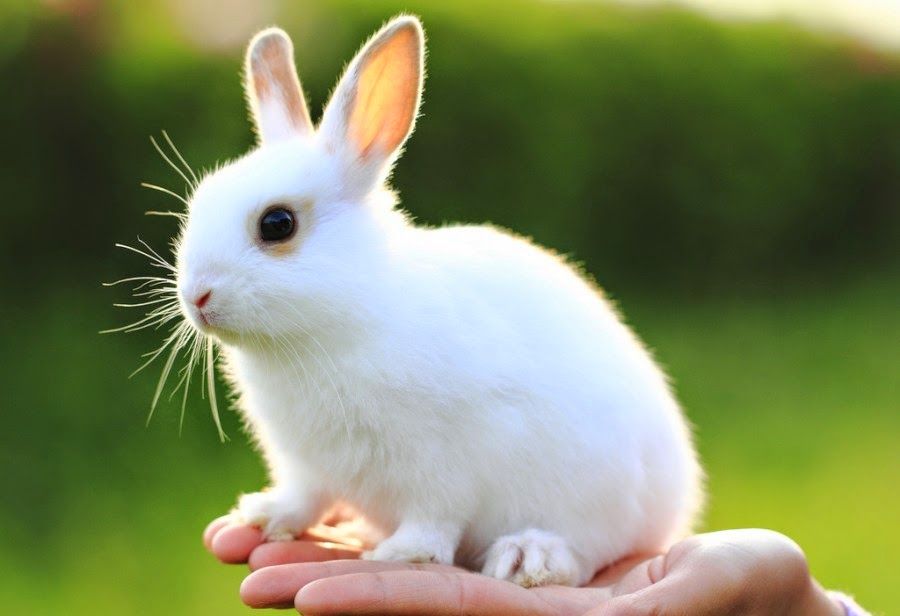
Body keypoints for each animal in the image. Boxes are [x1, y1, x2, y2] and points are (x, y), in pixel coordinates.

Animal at [172, 15, 703, 587]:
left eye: (277, 224)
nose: (196, 296)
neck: (346, 316)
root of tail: (675, 505)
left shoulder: (442, 467)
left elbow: (435, 516)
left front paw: (406, 554)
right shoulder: (305, 464)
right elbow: (306, 498)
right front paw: (264, 515)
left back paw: (528, 557)